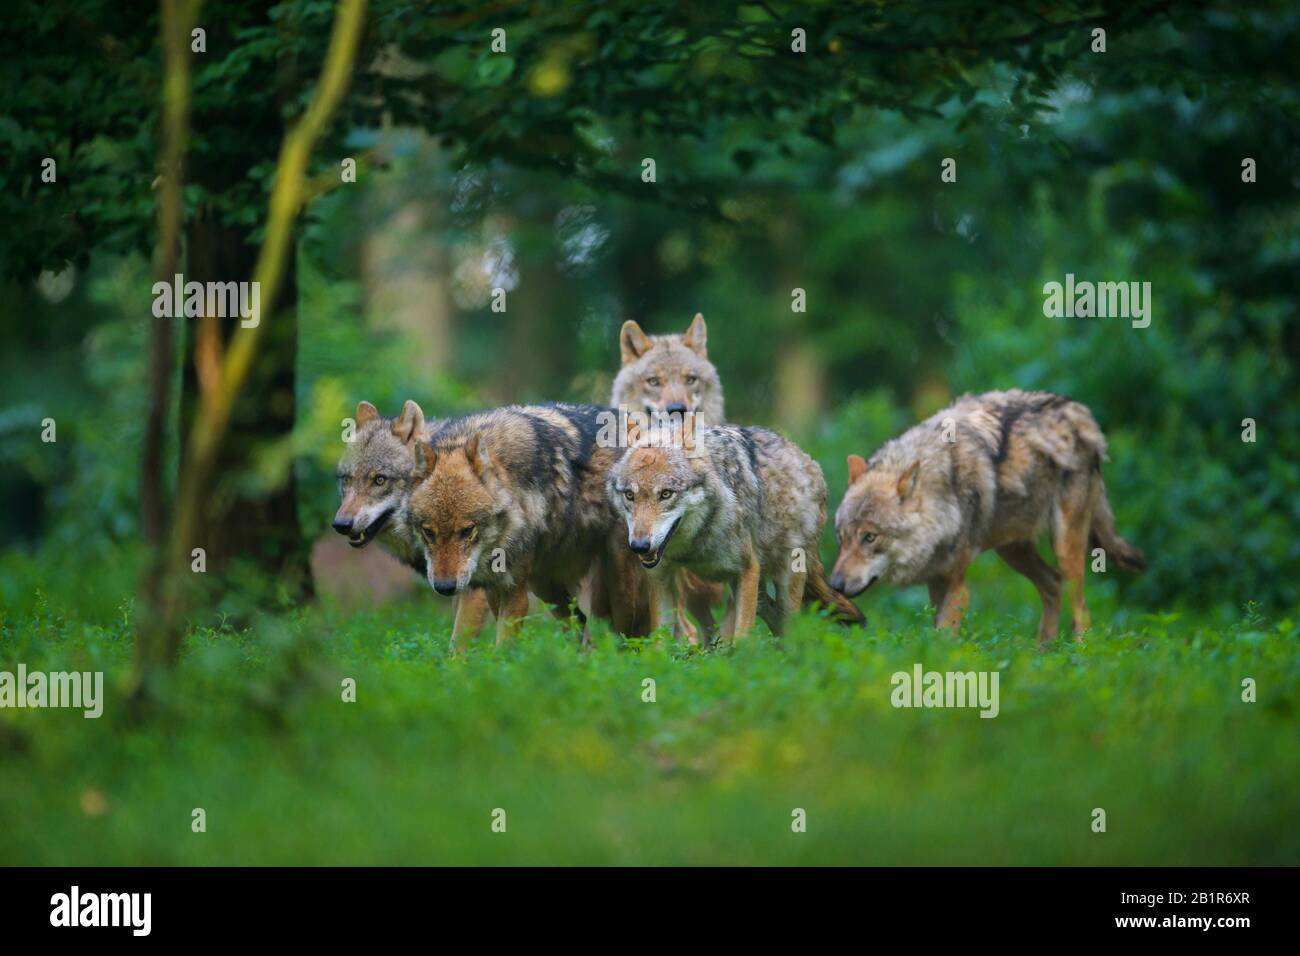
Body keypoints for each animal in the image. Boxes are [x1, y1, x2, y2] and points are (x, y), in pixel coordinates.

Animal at [407, 403, 644, 644]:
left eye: (467, 531)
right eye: (428, 532)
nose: (444, 587)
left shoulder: (514, 591)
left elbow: (502, 645)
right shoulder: (483, 587)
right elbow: (459, 643)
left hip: (619, 584)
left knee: (627, 634)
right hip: (544, 584)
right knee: (579, 619)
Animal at [607, 421, 863, 639]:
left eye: (666, 494)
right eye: (629, 495)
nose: (639, 546)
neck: (694, 547)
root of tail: (807, 459)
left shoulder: (748, 570)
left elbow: (742, 639)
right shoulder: (661, 579)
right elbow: (661, 642)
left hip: (785, 580)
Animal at [828, 389, 1146, 643]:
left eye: (870, 537)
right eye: (841, 538)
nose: (835, 586)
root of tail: (1080, 413)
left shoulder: (958, 586)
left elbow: (943, 635)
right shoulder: (936, 580)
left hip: (1065, 547)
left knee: (1081, 609)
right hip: (1013, 551)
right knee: (1053, 585)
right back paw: (1043, 652)